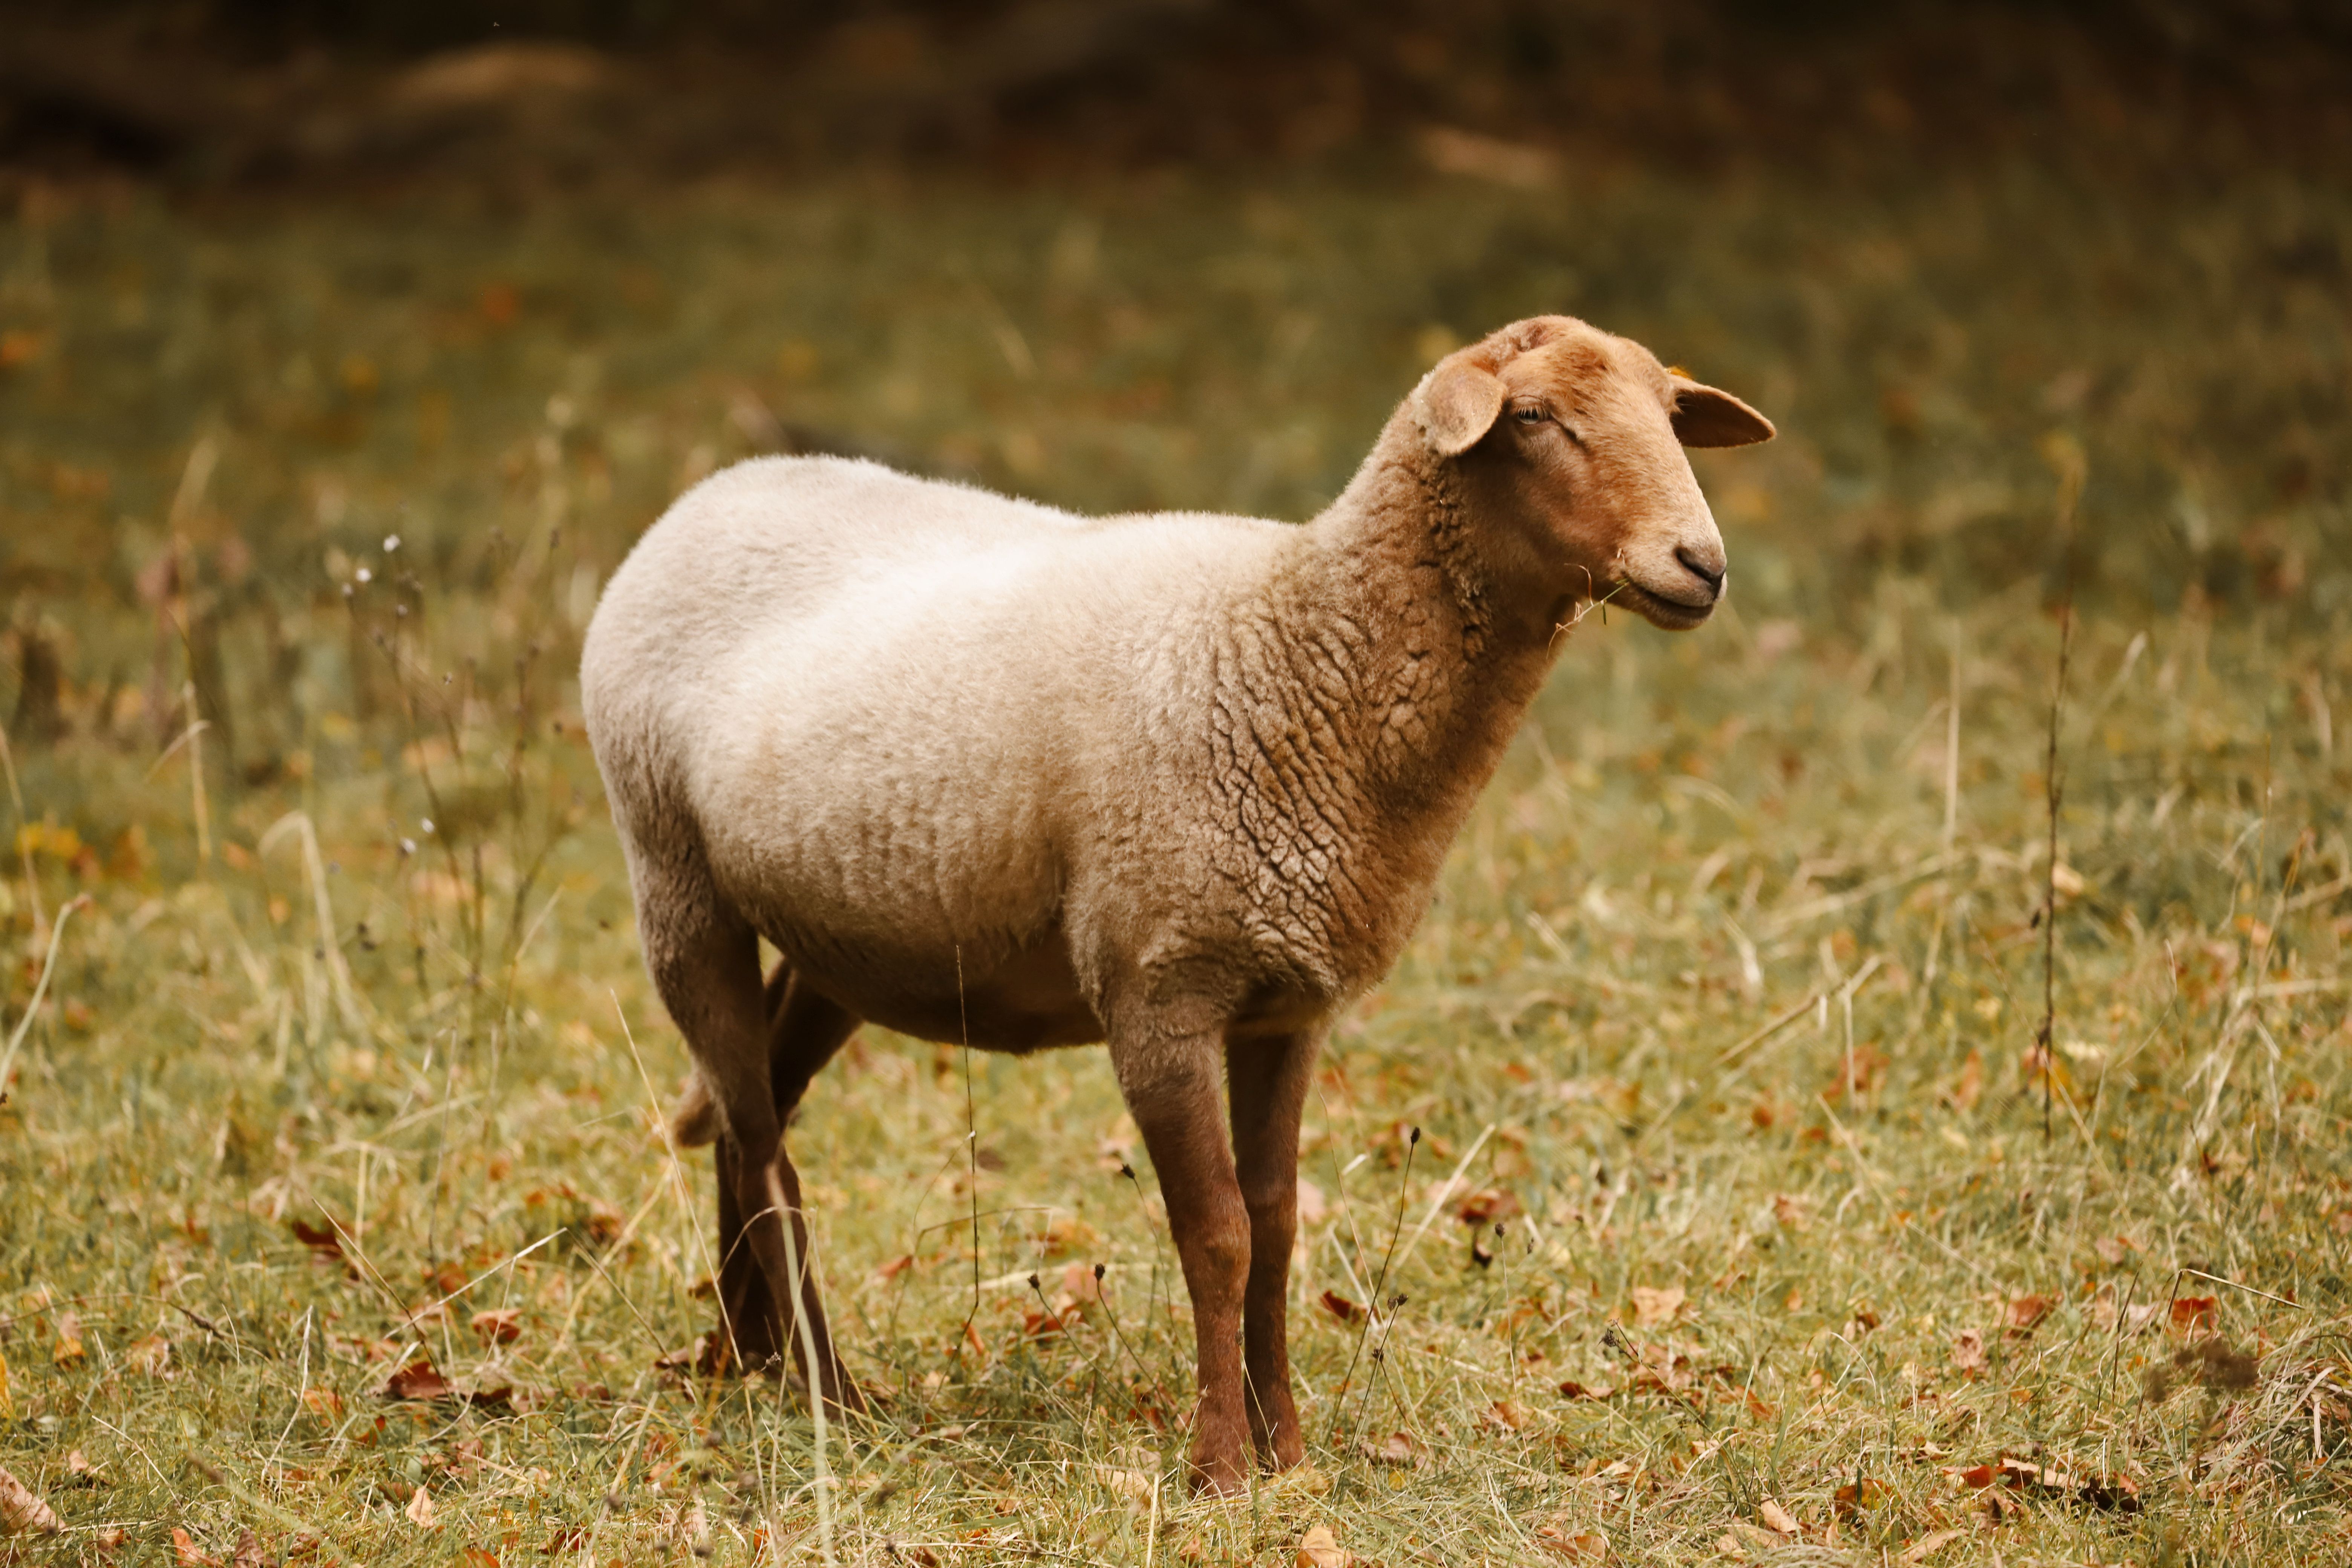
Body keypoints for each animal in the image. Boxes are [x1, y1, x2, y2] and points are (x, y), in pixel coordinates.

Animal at [580, 313, 1772, 1492]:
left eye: (1670, 415)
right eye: (1531, 415)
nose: (1702, 566)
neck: (1298, 646)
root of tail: (714, 490)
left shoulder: (1288, 1005)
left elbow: (1279, 1229)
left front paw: (1286, 1452)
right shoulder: (1160, 988)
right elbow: (1218, 1236)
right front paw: (1218, 1470)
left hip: (847, 931)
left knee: (752, 1118)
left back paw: (747, 1356)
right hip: (675, 880)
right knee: (760, 1139)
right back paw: (829, 1397)